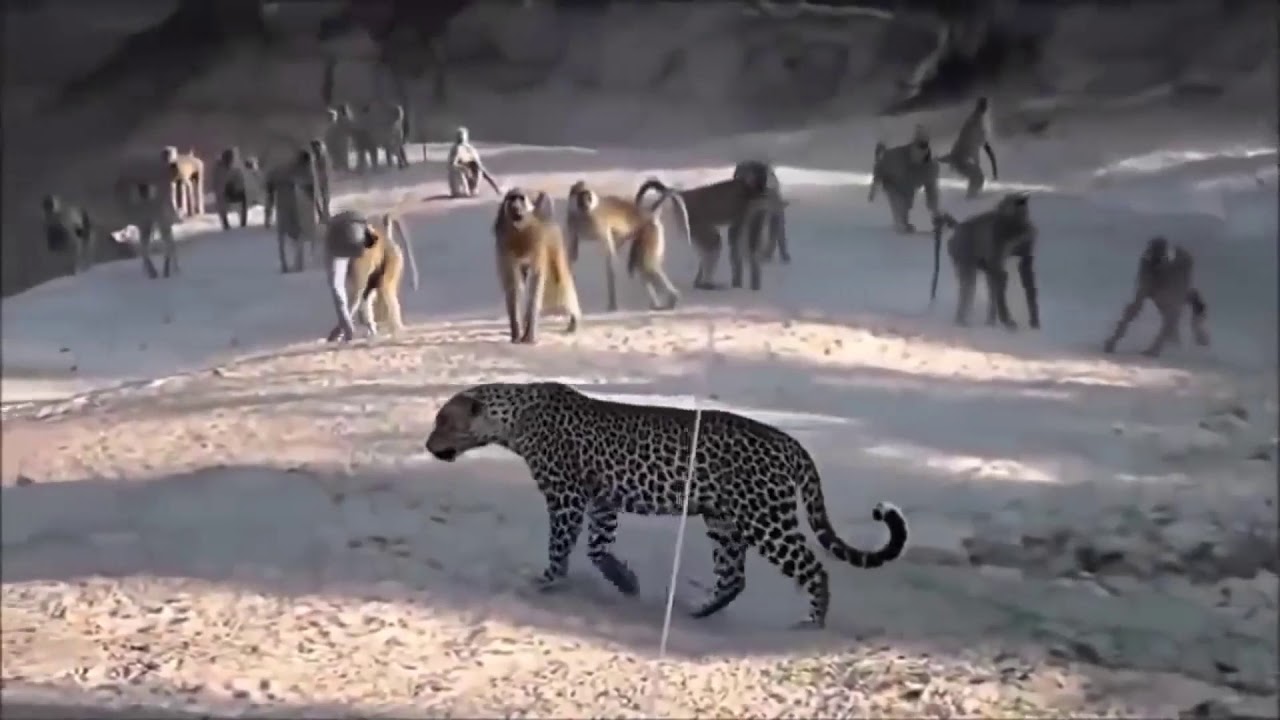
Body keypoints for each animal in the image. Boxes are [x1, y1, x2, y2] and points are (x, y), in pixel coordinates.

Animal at [425, 381, 910, 629]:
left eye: (443, 421)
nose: (428, 445)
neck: (512, 418)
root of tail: (788, 441)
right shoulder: (603, 499)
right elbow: (598, 547)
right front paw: (626, 582)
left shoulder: (566, 497)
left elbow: (560, 545)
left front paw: (547, 579)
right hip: (723, 521)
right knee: (734, 576)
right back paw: (700, 610)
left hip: (764, 520)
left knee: (813, 567)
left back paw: (813, 621)